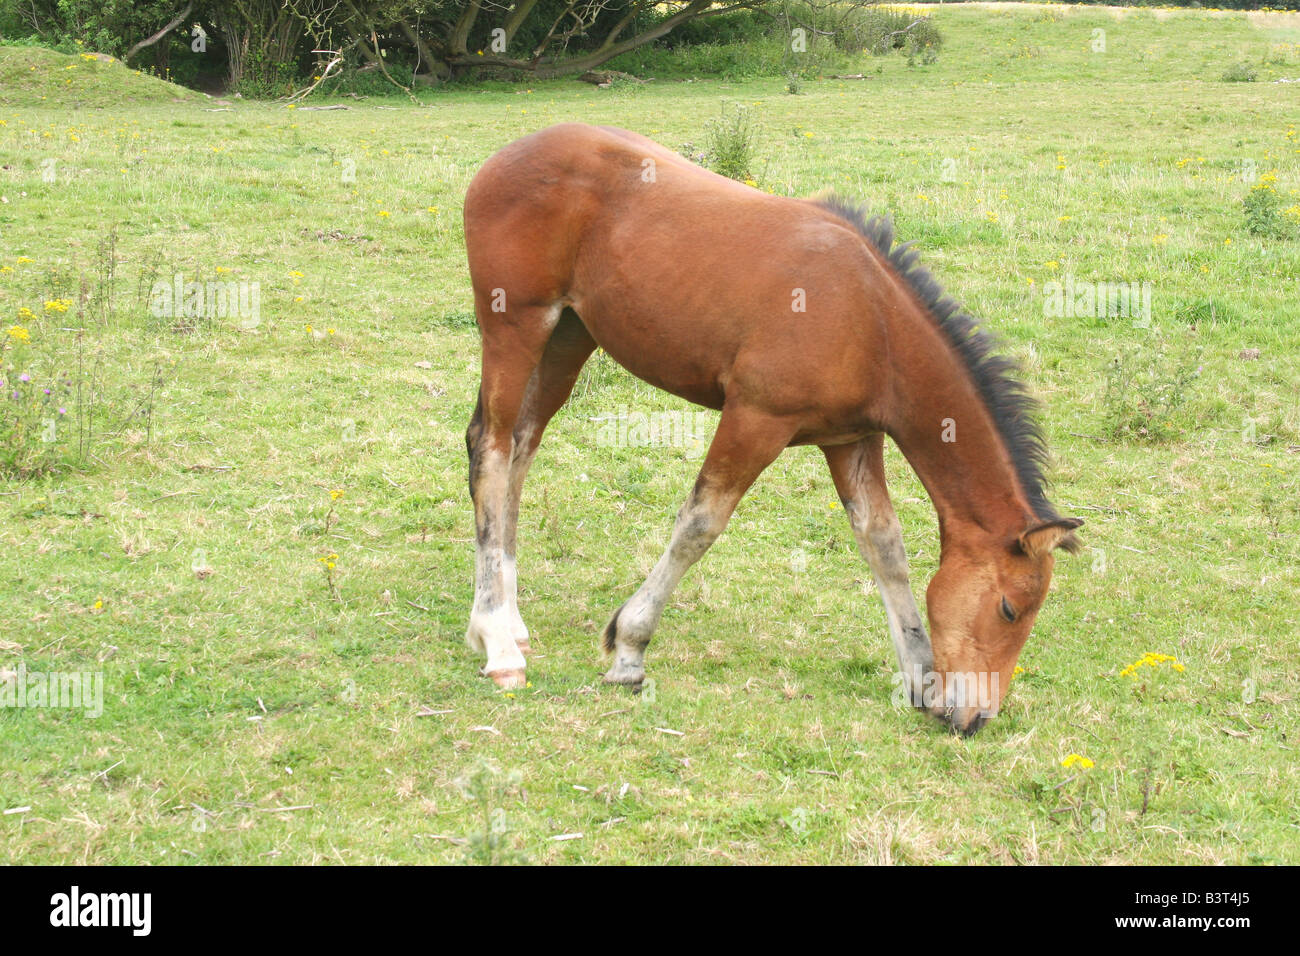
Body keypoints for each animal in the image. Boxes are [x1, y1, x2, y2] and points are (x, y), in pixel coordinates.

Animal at [461, 123, 1081, 735]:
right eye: (1010, 608)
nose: (974, 719)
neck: (870, 320)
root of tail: (505, 156)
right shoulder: (755, 419)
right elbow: (700, 525)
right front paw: (630, 648)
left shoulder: (850, 440)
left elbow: (884, 544)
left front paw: (919, 675)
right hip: (515, 325)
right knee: (491, 450)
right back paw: (498, 644)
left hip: (569, 336)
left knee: (519, 450)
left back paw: (508, 622)